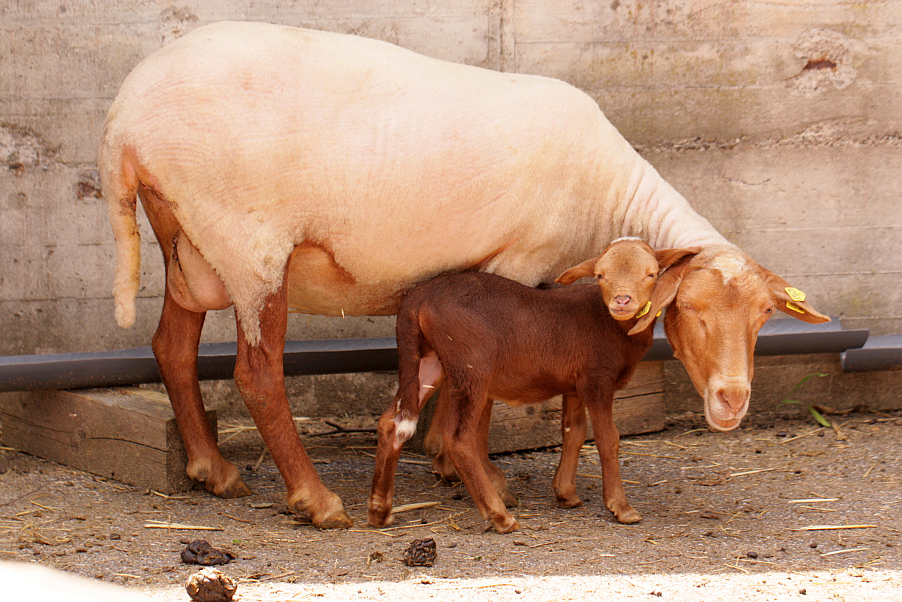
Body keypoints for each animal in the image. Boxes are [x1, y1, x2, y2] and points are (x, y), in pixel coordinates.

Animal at [368, 239, 699, 533]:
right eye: (600, 275)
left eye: (651, 274)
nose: (622, 301)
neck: (612, 323)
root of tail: (417, 299)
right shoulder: (597, 380)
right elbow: (608, 439)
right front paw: (621, 507)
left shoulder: (575, 384)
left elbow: (574, 433)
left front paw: (566, 493)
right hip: (471, 363)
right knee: (458, 438)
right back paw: (500, 516)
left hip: (429, 360)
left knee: (392, 423)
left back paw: (379, 510)